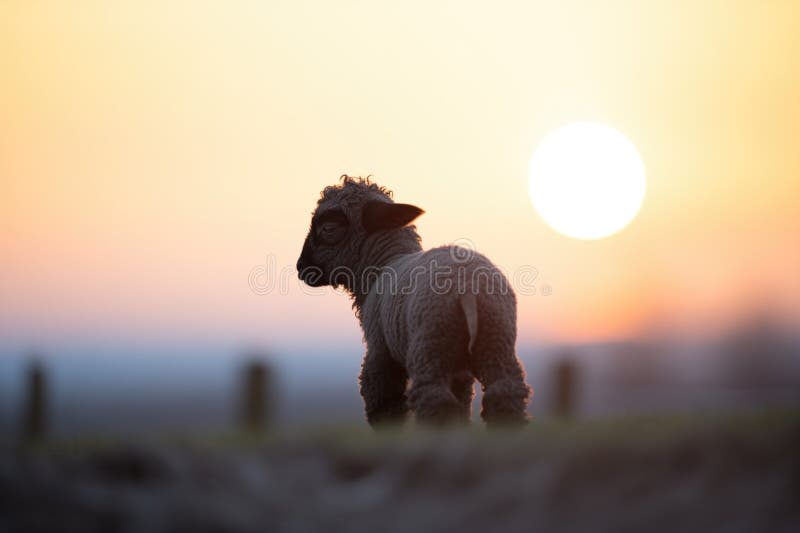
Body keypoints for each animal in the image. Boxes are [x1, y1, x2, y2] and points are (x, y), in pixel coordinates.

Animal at [296, 175, 532, 427]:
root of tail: (467, 288)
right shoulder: (461, 374)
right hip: (495, 340)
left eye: (328, 228)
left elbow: (385, 408)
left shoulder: (380, 353)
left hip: (430, 344)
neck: (382, 265)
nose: (300, 266)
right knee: (504, 394)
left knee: (436, 401)